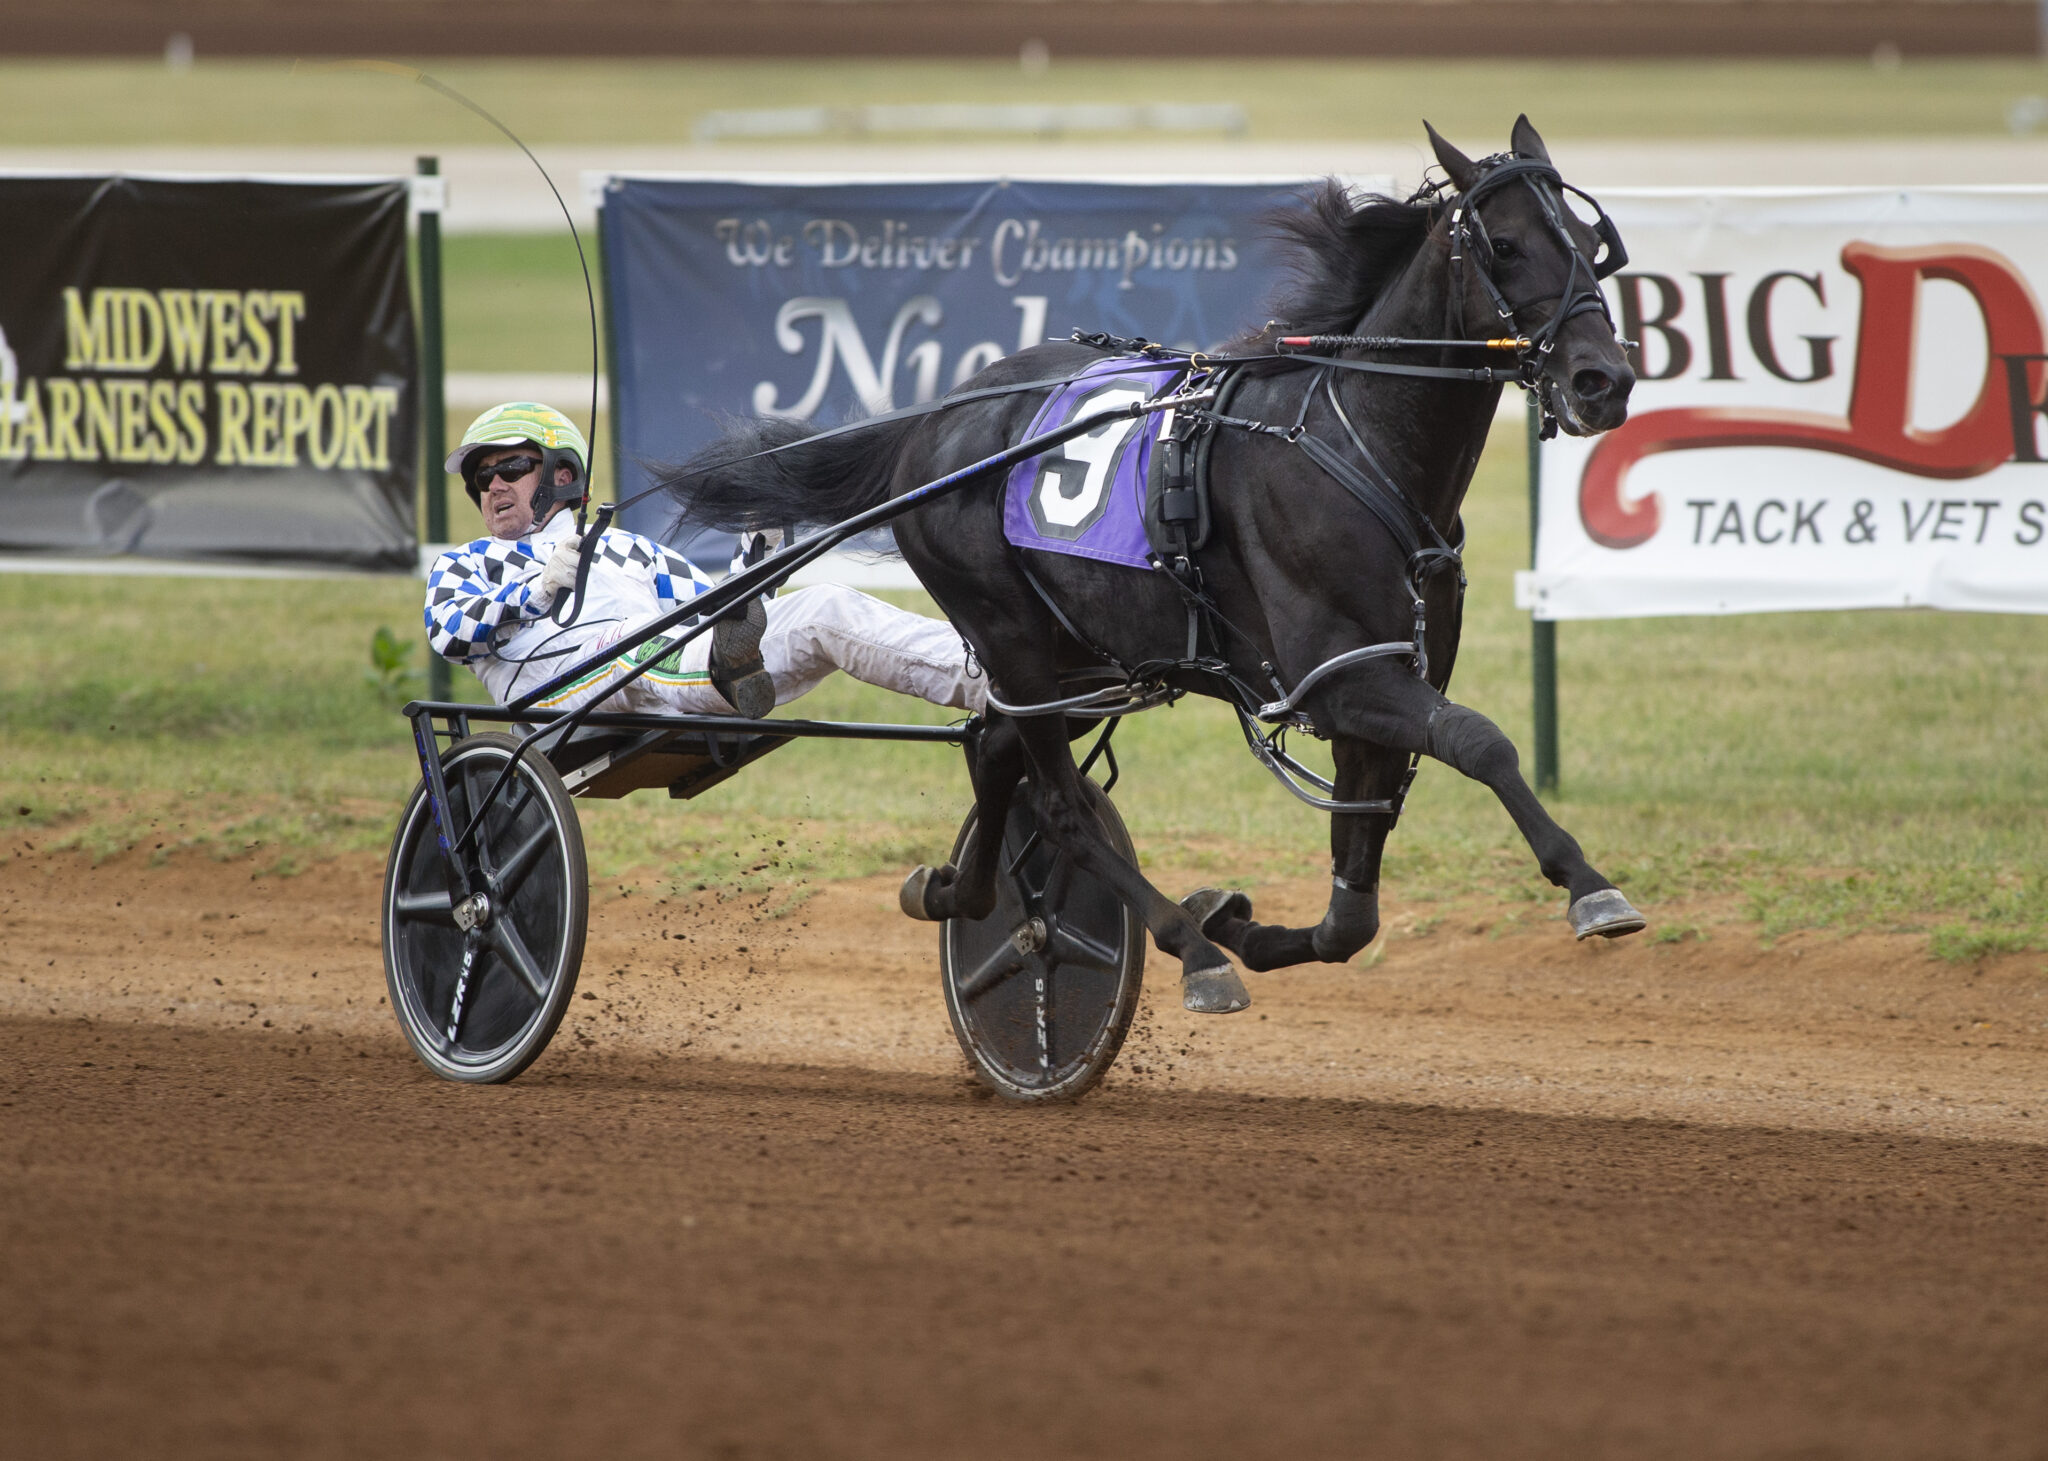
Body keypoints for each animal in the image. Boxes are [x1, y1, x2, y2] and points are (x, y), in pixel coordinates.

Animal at [660, 116, 1647, 1016]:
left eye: (1588, 241)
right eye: (1507, 245)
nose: (1604, 381)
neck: (1354, 445)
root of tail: (935, 421)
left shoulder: (1385, 682)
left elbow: (1352, 916)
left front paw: (1243, 922)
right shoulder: (1343, 680)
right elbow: (1482, 740)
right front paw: (1591, 885)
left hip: (1080, 656)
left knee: (997, 747)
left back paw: (958, 890)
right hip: (1013, 636)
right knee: (1057, 802)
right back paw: (1183, 947)